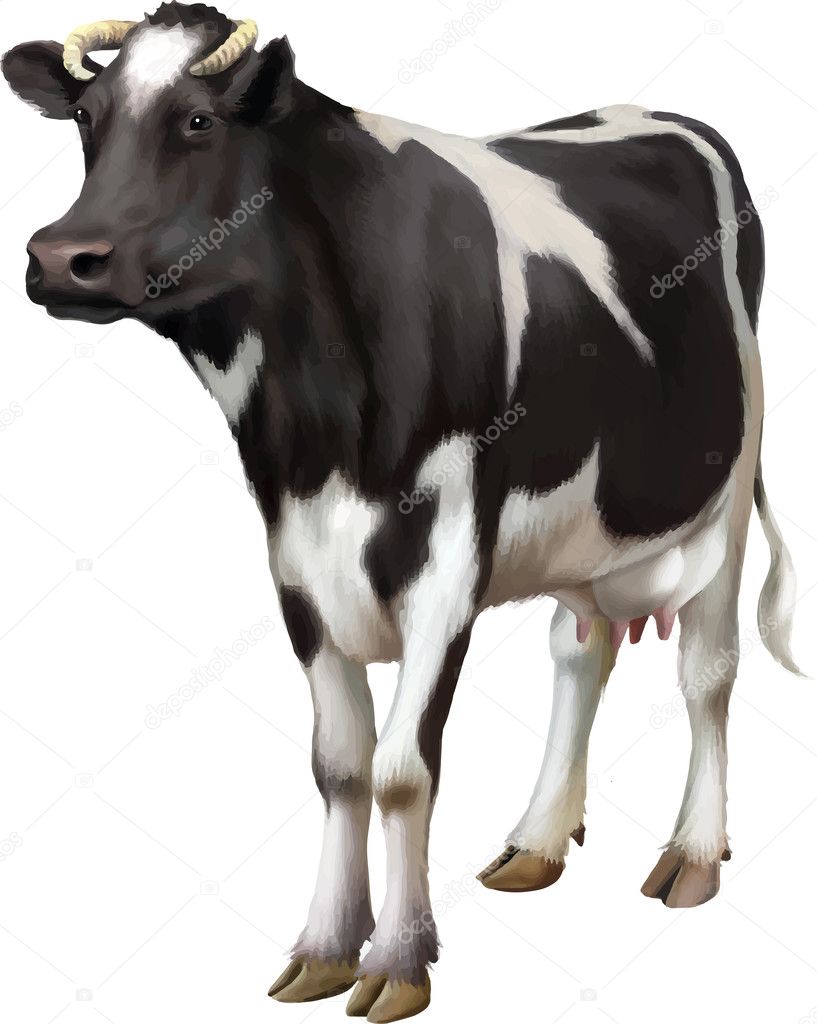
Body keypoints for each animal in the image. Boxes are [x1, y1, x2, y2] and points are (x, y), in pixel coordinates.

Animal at [3, 4, 801, 1021]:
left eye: (198, 120)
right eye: (84, 119)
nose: (59, 258)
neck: (317, 426)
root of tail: (656, 113)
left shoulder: (447, 559)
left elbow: (398, 771)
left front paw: (398, 961)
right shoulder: (298, 562)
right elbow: (339, 768)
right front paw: (324, 948)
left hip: (724, 499)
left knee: (707, 675)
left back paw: (692, 855)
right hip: (581, 532)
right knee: (579, 652)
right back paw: (537, 840)